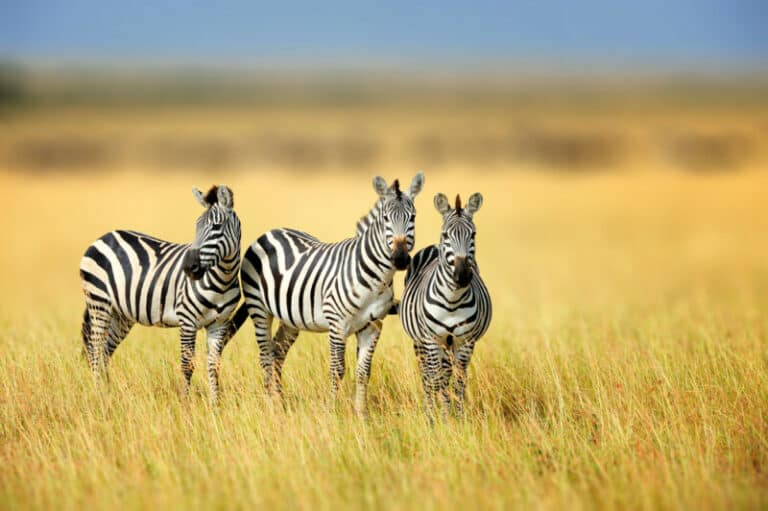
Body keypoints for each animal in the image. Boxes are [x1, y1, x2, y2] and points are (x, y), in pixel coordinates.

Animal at [79, 185, 241, 404]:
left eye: (217, 227)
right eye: (196, 227)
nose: (189, 267)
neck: (222, 280)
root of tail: (104, 237)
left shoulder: (219, 323)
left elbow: (214, 366)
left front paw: (215, 405)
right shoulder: (187, 320)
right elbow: (187, 365)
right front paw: (185, 404)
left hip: (121, 315)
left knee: (104, 353)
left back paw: (108, 394)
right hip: (99, 303)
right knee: (95, 352)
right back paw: (98, 396)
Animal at [225, 173, 424, 415]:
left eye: (413, 217)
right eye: (385, 218)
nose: (401, 258)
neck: (376, 278)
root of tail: (271, 231)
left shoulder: (373, 326)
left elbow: (363, 372)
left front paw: (362, 414)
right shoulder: (337, 324)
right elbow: (337, 370)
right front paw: (333, 412)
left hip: (291, 318)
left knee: (277, 352)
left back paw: (279, 403)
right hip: (259, 309)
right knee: (265, 356)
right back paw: (271, 405)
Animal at [399, 192, 492, 420]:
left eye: (473, 234)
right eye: (446, 235)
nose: (463, 275)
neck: (452, 300)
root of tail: (433, 245)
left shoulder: (465, 341)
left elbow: (458, 381)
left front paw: (457, 418)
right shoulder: (431, 339)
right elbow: (435, 380)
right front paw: (436, 419)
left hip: (449, 344)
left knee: (448, 373)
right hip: (421, 342)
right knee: (427, 375)